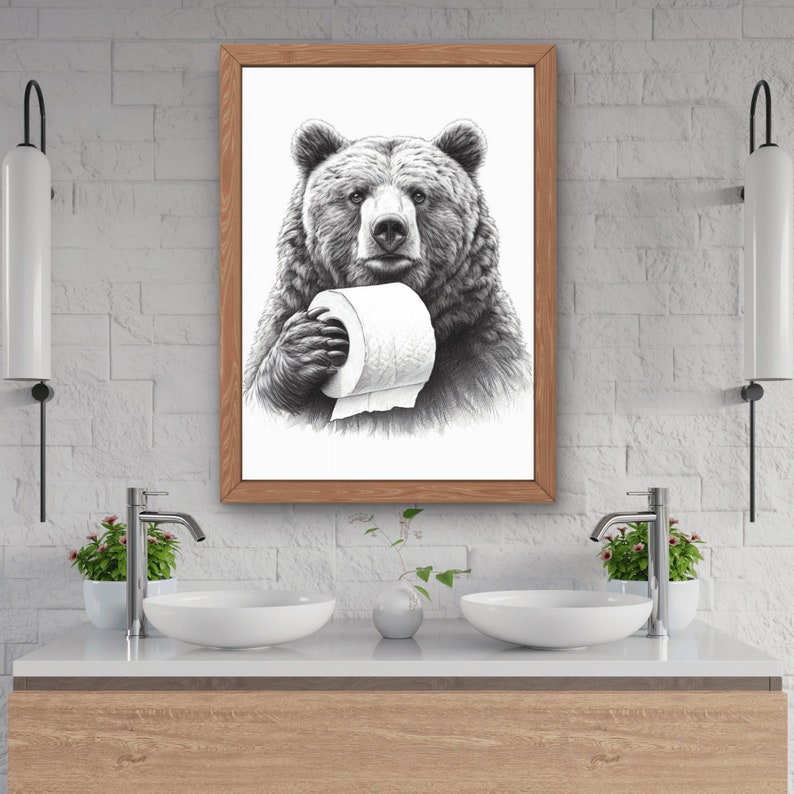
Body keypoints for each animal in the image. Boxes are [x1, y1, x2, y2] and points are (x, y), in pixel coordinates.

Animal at [243, 118, 531, 435]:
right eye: (356, 194)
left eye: (419, 194)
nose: (389, 227)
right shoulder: (287, 309)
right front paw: (311, 342)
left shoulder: (479, 348)